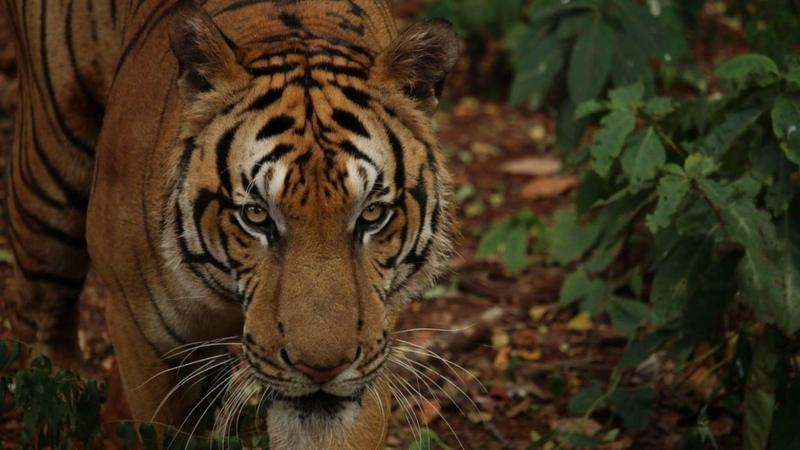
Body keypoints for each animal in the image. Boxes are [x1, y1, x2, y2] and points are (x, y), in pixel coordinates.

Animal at [4, 0, 459, 448]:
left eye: (372, 214)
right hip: (49, 172)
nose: (322, 370)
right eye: (256, 215)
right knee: (41, 335)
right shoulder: (145, 342)